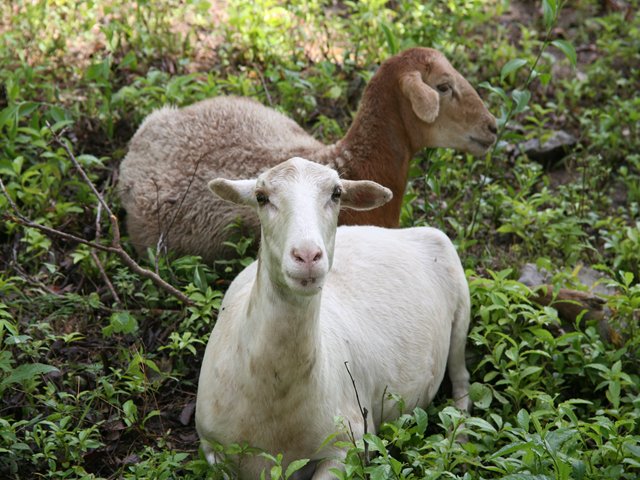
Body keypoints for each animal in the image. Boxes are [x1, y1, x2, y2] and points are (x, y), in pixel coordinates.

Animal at [195, 157, 471, 479]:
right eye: (261, 197)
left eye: (336, 193)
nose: (307, 255)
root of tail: (392, 231)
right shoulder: (212, 449)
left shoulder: (347, 444)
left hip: (461, 309)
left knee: (462, 380)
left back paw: (458, 440)